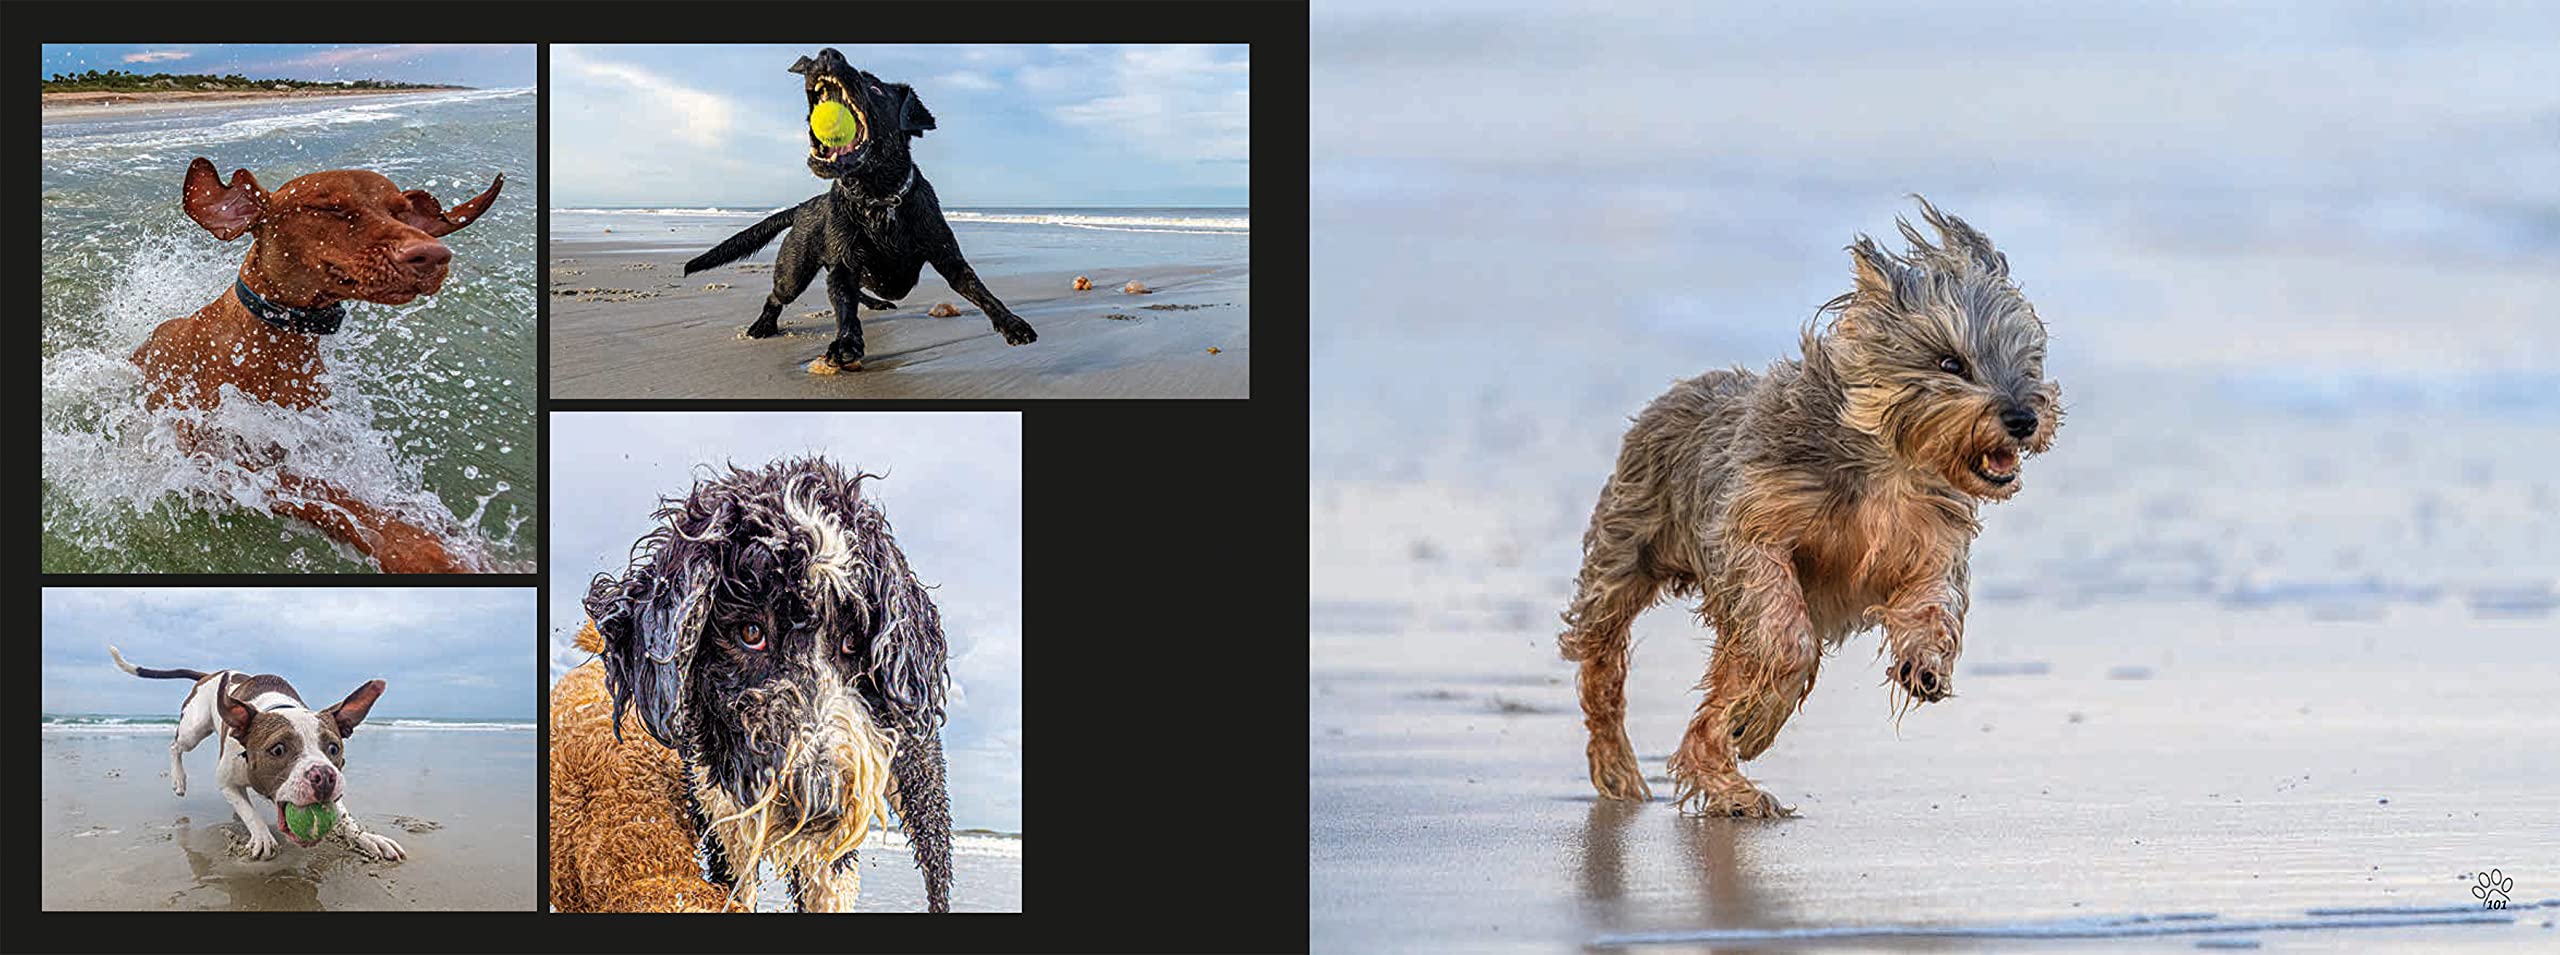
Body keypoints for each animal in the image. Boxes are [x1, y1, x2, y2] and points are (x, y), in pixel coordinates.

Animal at [110, 642, 407, 860]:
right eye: (278, 749)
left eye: (333, 748)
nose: (323, 776)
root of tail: (209, 675)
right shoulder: (227, 782)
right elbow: (249, 810)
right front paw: (262, 836)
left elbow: (346, 818)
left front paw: (368, 838)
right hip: (193, 729)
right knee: (175, 746)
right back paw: (179, 780)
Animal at [128, 157, 504, 573]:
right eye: (329, 208)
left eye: (401, 211)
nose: (432, 254)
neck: (277, 346)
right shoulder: (218, 455)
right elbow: (326, 497)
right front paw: (414, 546)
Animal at [581, 453, 952, 906]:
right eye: (751, 632)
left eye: (852, 641)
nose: (820, 800)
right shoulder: (721, 820)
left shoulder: (832, 856)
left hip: (923, 786)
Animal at [691, 47, 1039, 371]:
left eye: (875, 89)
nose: (827, 53)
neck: (879, 200)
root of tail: (803, 207)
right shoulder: (845, 262)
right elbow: (844, 307)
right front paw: (846, 343)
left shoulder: (948, 258)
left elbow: (980, 290)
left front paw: (1013, 324)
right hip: (793, 271)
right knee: (778, 296)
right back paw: (762, 325)